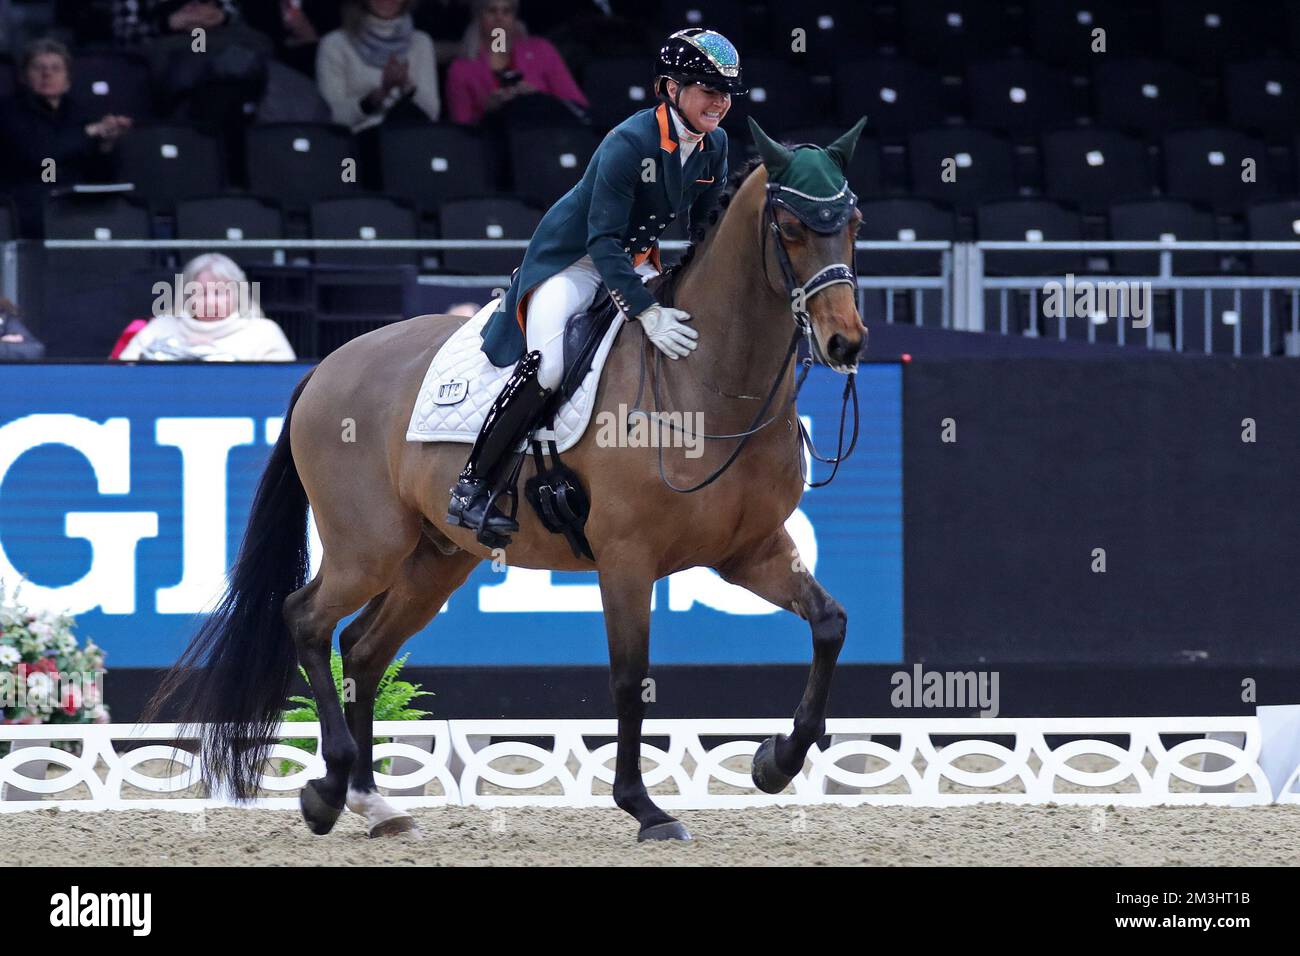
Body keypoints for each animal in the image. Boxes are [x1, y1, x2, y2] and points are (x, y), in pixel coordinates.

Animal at [147, 141, 867, 842]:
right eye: (792, 228)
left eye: (855, 224)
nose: (845, 342)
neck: (710, 378)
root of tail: (329, 363)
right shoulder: (627, 559)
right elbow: (630, 678)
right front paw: (644, 808)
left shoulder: (750, 550)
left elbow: (830, 624)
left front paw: (776, 762)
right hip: (368, 548)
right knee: (306, 619)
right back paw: (328, 791)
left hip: (435, 559)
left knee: (363, 648)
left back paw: (372, 803)